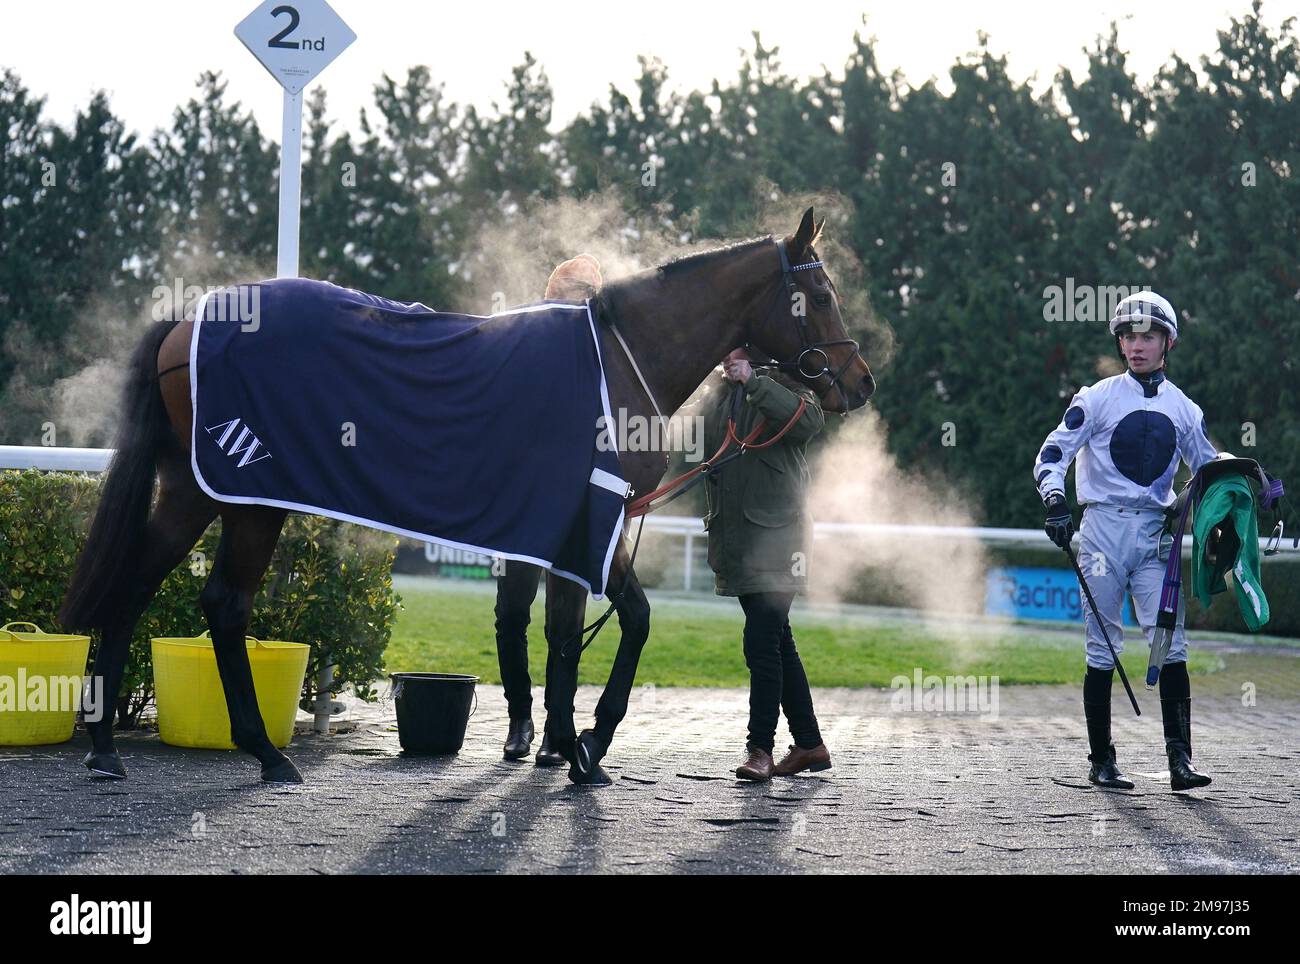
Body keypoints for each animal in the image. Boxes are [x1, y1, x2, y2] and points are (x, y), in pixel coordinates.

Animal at [59, 206, 874, 784]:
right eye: (819, 293)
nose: (860, 381)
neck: (616, 357)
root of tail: (192, 318)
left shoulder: (576, 531)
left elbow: (573, 636)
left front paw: (567, 746)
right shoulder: (591, 521)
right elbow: (619, 626)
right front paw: (589, 743)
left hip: (203, 491)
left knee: (149, 586)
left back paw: (119, 747)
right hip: (248, 499)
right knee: (219, 604)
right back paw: (250, 752)